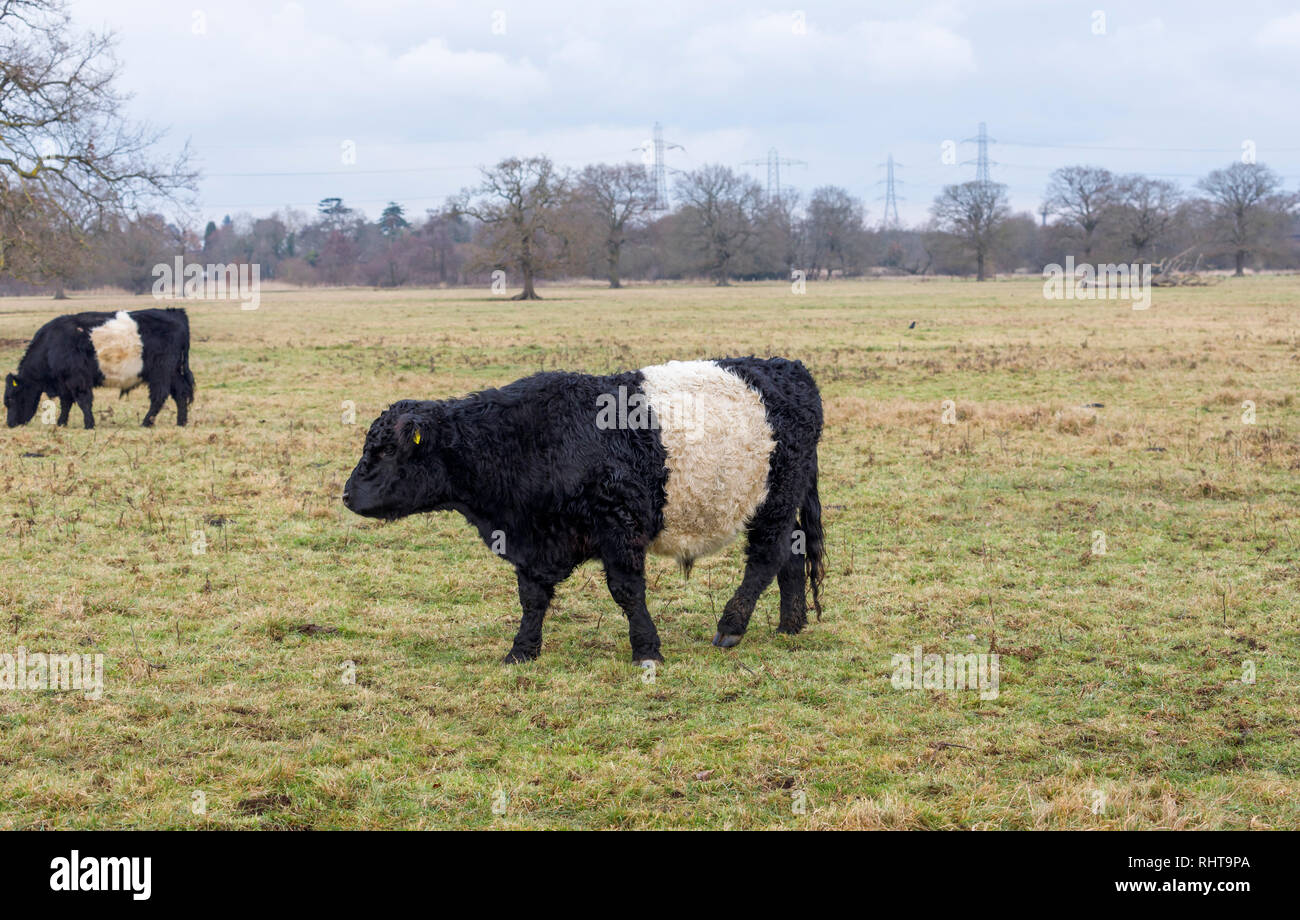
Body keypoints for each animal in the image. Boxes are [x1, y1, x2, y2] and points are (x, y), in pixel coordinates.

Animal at [5, 308, 195, 429]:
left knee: (159, 396)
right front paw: (61, 423)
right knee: (180, 393)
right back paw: (181, 422)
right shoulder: (65, 383)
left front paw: (89, 424)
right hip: (174, 372)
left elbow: (83, 401)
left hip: (161, 372)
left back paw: (146, 422)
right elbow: (67, 403)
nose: (10, 424)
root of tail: (174, 312)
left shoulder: (77, 379)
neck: (52, 345)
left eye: (10, 399)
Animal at [343, 357, 825, 665]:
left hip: (776, 500)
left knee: (764, 559)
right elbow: (532, 598)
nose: (347, 495)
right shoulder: (533, 542)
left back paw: (731, 626)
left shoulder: (619, 526)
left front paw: (646, 650)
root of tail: (788, 368)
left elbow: (627, 592)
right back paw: (791, 625)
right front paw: (522, 650)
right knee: (791, 555)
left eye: (385, 450)